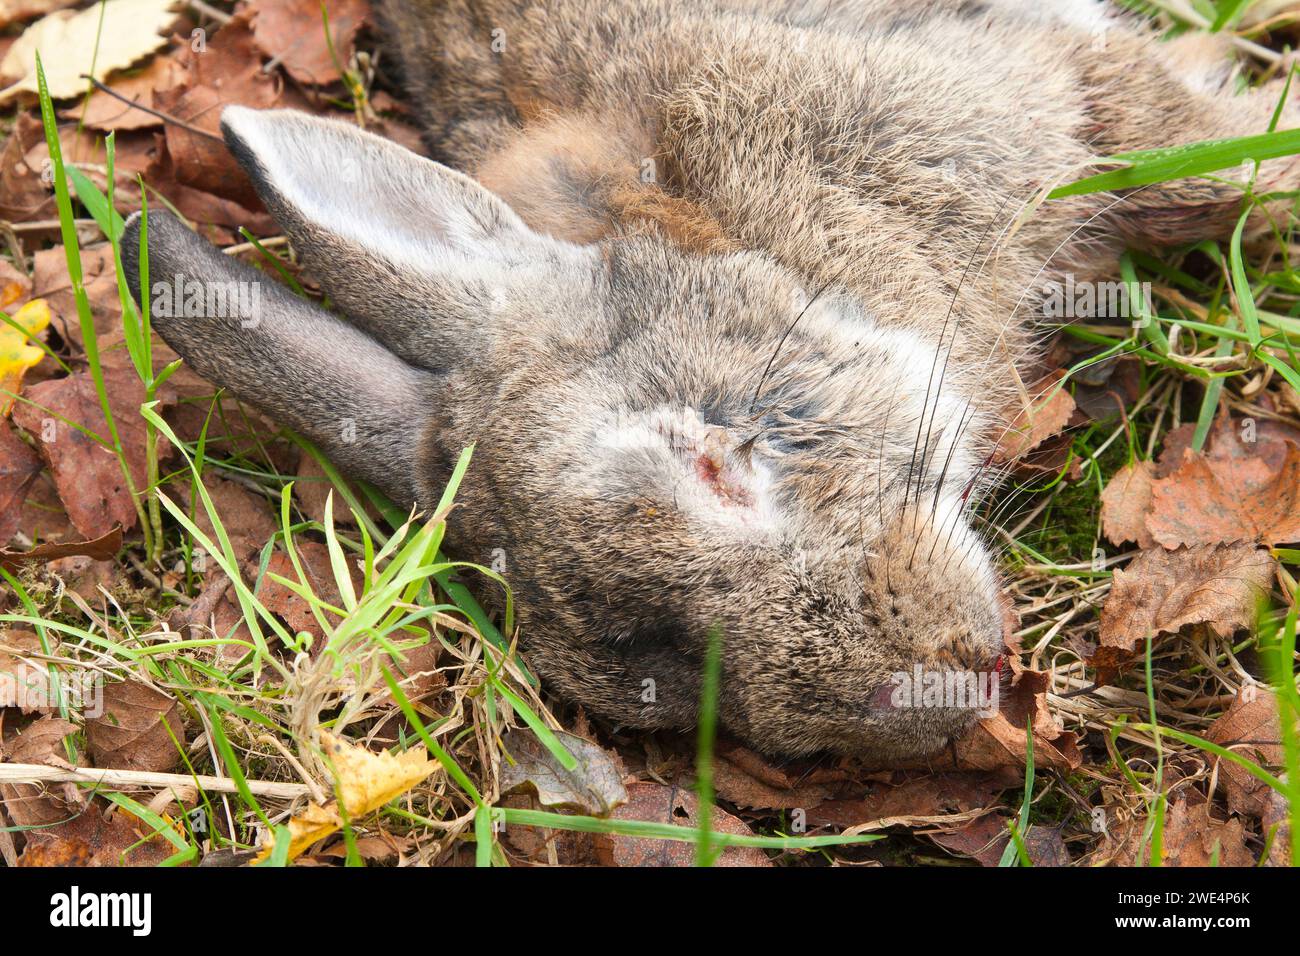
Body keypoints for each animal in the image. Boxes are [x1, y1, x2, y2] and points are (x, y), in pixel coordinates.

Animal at [123, 0, 1300, 761]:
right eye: (678, 685)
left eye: (714, 456)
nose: (941, 700)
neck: (734, 229)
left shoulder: (1053, 91)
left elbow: (1220, 171)